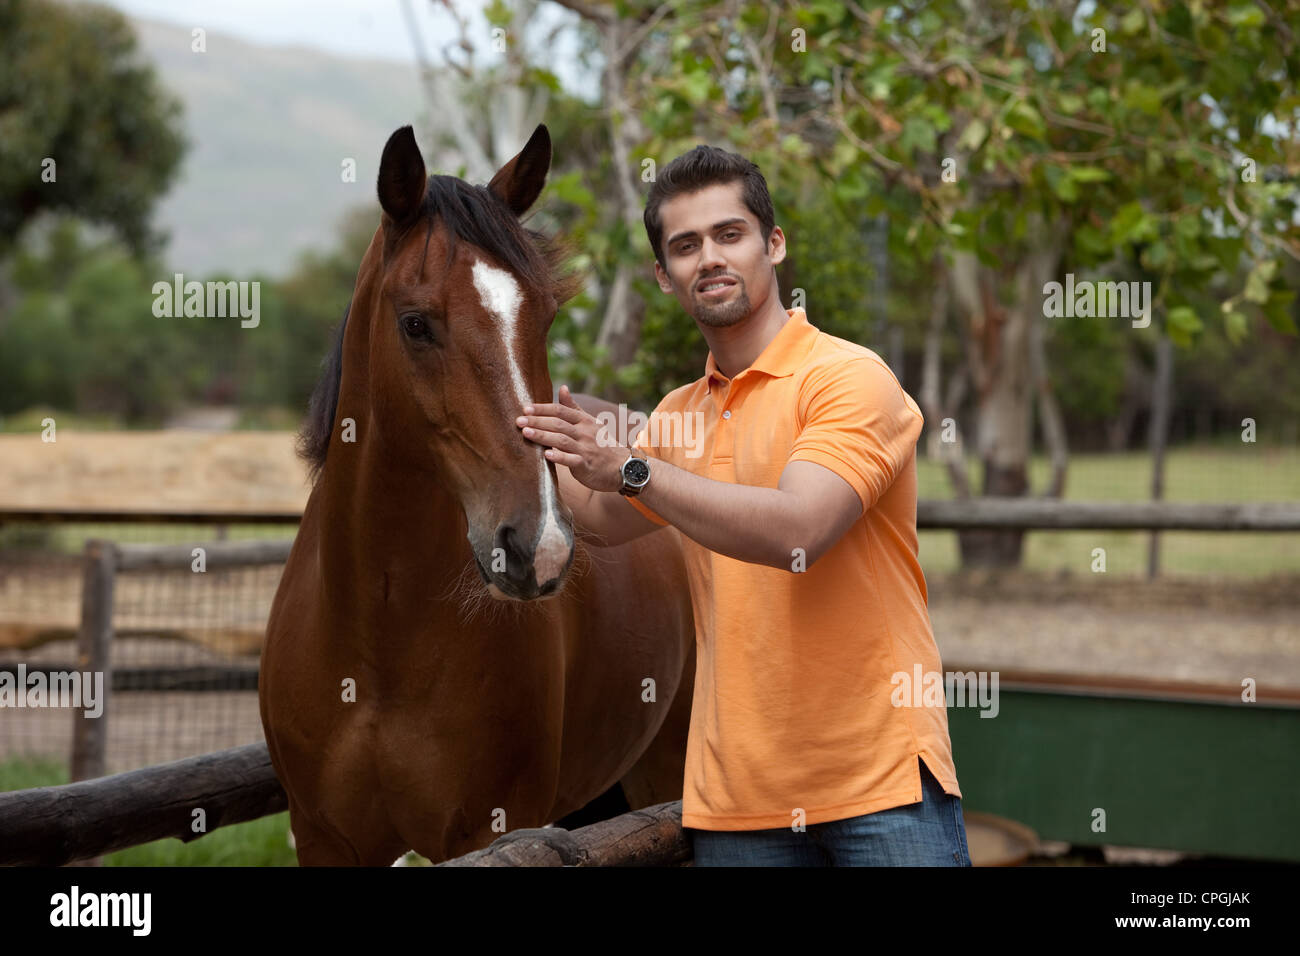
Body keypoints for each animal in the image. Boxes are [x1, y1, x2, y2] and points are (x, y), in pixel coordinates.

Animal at [259, 124, 696, 865]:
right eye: (415, 323)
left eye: (545, 318)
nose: (539, 545)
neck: (377, 647)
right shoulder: (324, 839)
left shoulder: (491, 830)